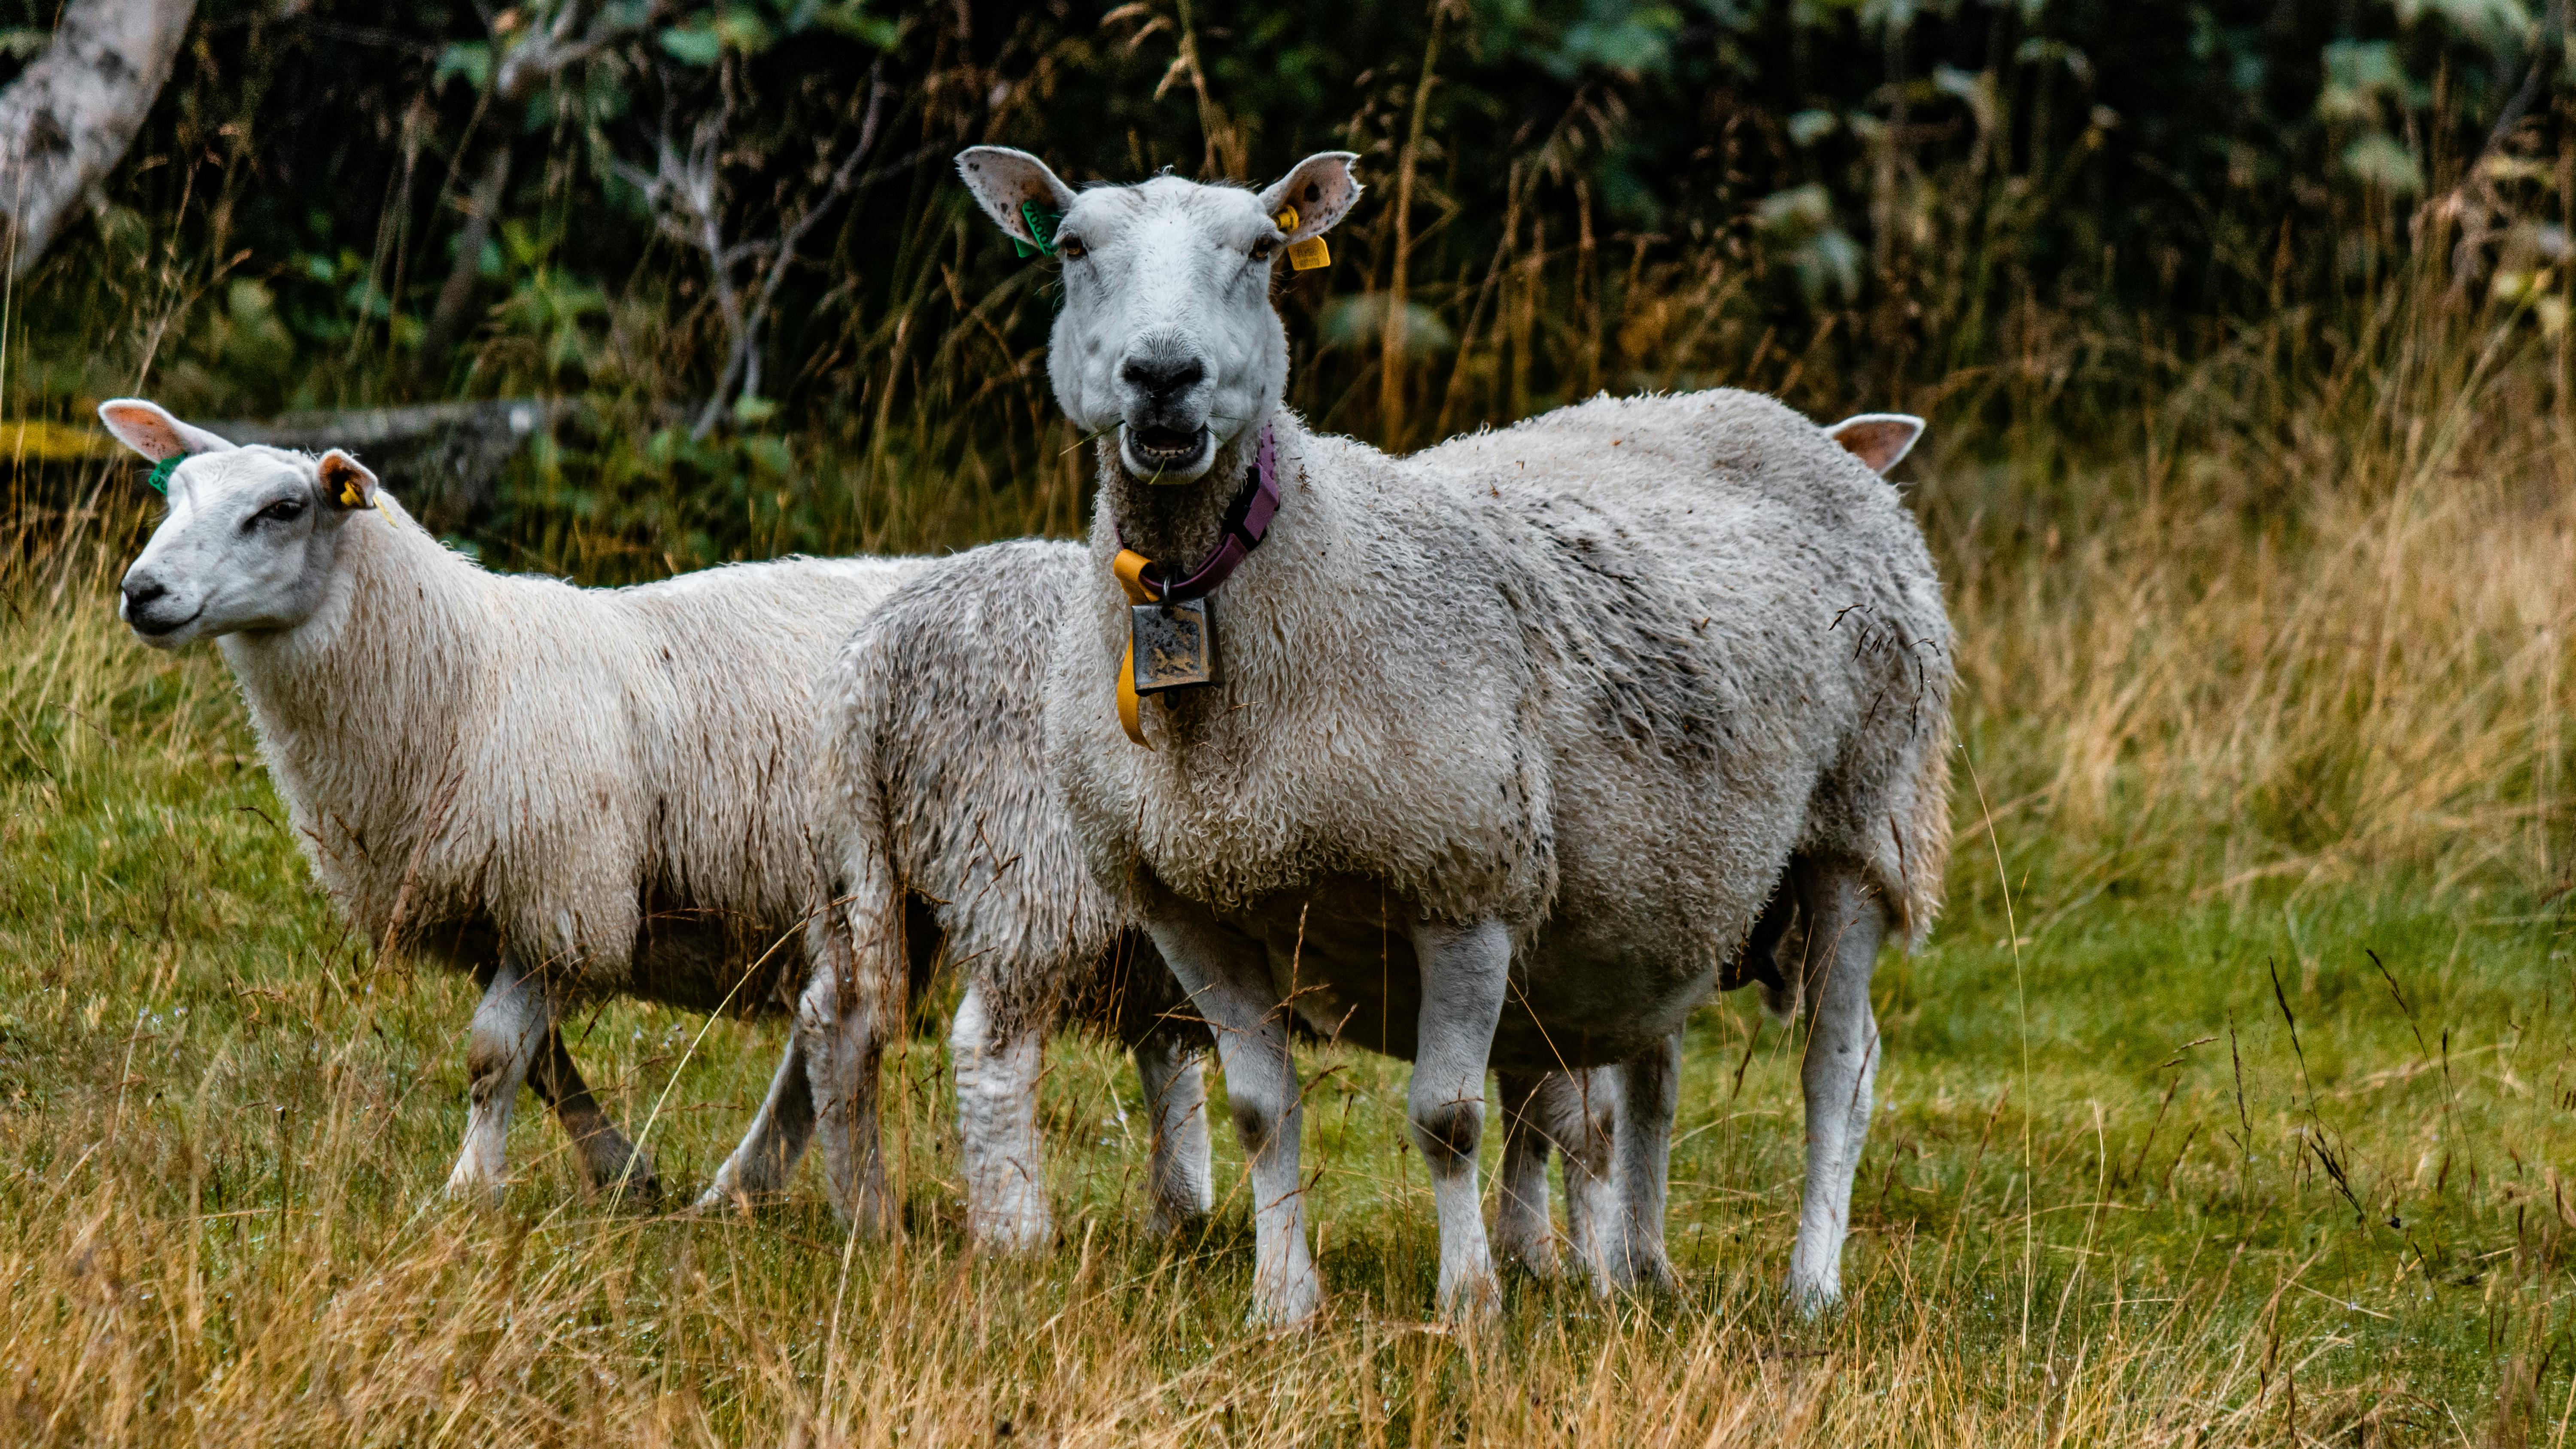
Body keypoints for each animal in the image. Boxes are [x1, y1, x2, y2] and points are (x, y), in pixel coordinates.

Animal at [100, 398, 926, 1203]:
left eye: (281, 509)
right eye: (173, 495)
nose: (142, 592)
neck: (464, 668)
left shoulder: (558, 897)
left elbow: (493, 1053)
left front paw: (471, 1189)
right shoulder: (483, 915)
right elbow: (544, 1063)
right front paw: (622, 1172)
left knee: (837, 1024)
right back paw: (740, 1188)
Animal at [699, 537, 1624, 1275]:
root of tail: (877, 664)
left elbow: (1539, 1114)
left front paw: (1539, 1251)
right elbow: (1577, 1121)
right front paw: (1584, 1265)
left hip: (867, 873)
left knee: (837, 1021)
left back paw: (864, 1214)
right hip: (1020, 869)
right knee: (989, 1049)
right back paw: (1014, 1234)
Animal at [955, 150, 1953, 1325]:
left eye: (1262, 249)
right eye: (1072, 247)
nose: (1163, 373)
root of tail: (1788, 425)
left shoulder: (1466, 880)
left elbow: (1448, 1117)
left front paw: (1469, 1303)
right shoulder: (1191, 904)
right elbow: (1258, 1108)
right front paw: (1282, 1305)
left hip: (1864, 820)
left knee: (1838, 1071)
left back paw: (1810, 1284)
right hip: (1670, 889)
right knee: (1654, 1080)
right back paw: (1642, 1269)